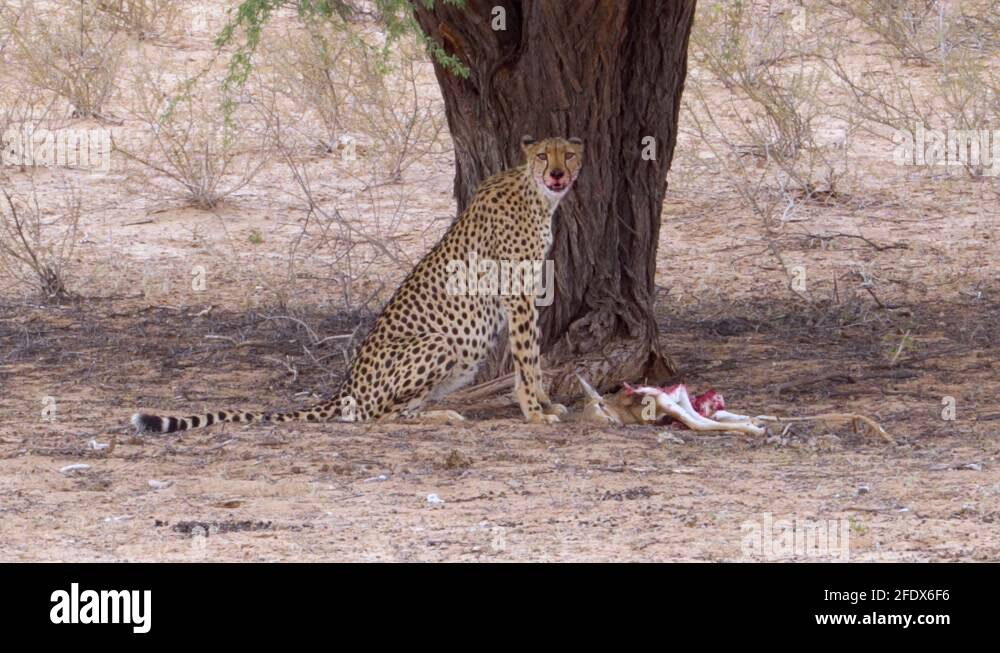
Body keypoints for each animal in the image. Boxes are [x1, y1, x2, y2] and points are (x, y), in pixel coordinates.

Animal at [131, 135, 584, 434]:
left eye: (569, 153)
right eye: (542, 154)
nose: (557, 172)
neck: (536, 193)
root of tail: (345, 384)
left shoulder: (528, 291)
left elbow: (532, 353)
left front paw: (543, 403)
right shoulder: (516, 291)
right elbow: (528, 356)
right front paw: (536, 411)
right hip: (444, 344)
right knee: (370, 415)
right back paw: (440, 415)